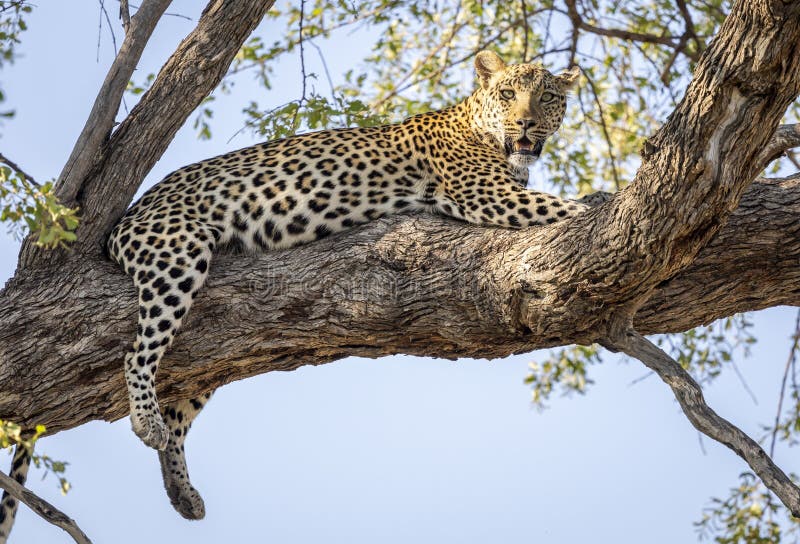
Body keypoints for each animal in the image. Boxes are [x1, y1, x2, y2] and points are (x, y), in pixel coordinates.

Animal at [105, 50, 612, 520]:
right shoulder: (490, 196)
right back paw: (147, 421)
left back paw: (181, 491)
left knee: (180, 406)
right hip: (178, 253)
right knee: (138, 353)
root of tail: (124, 220)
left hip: (221, 347)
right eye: (508, 94)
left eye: (547, 97)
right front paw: (603, 199)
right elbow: (565, 207)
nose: (526, 122)